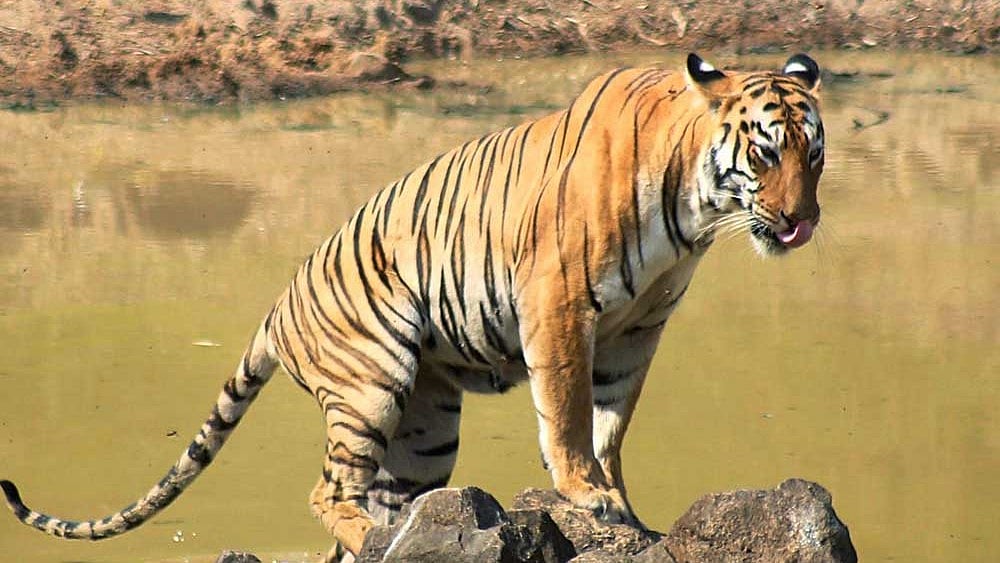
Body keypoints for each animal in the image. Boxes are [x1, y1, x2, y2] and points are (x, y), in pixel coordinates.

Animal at [1, 52, 824, 560]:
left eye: (813, 156)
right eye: (764, 152)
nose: (802, 221)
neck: (697, 206)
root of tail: (276, 308)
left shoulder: (638, 328)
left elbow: (610, 423)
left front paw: (623, 507)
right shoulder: (560, 304)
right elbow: (566, 413)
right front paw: (585, 495)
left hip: (423, 437)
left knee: (377, 503)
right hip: (372, 379)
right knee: (328, 489)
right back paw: (370, 536)